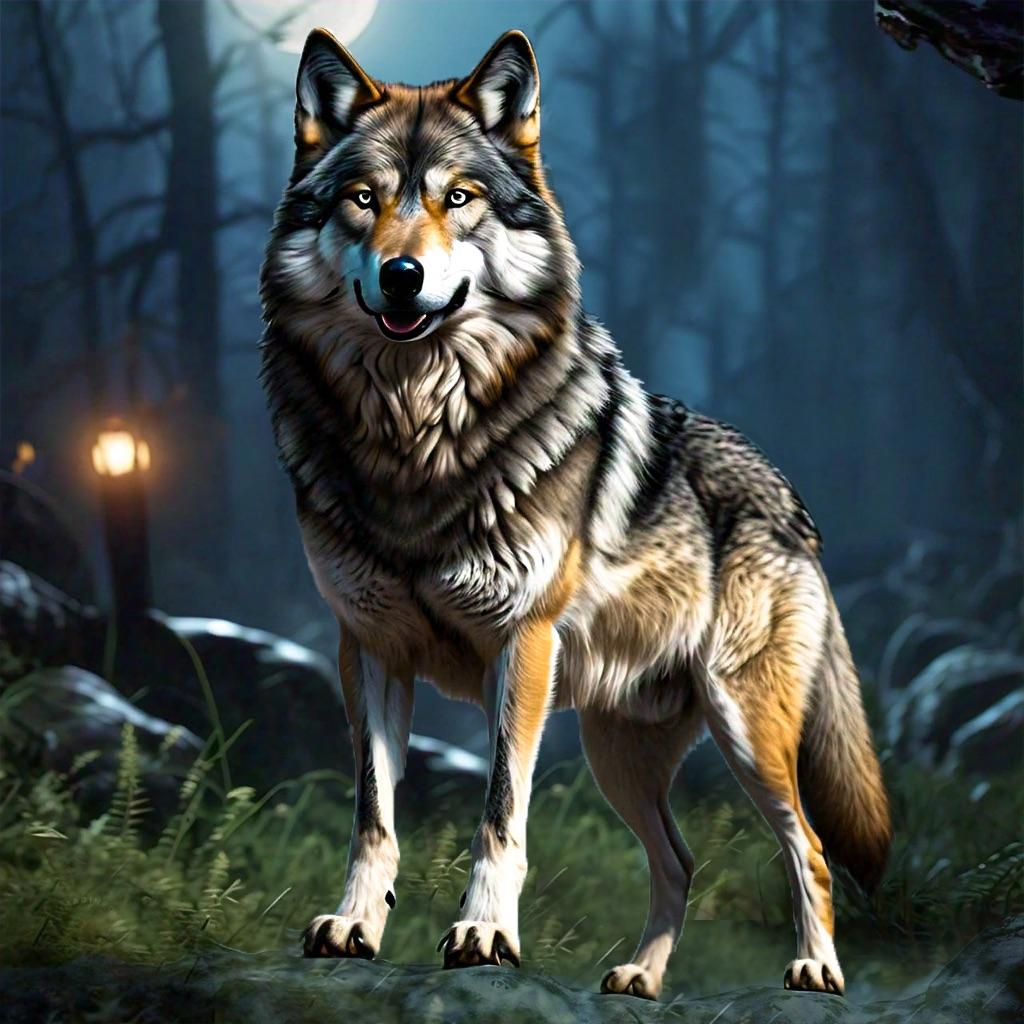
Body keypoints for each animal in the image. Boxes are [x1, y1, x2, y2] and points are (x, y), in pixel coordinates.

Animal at [259, 28, 892, 999]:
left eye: (459, 199)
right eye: (364, 200)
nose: (403, 276)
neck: (415, 439)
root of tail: (791, 495)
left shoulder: (520, 646)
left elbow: (499, 815)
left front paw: (484, 933)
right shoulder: (366, 647)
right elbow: (374, 813)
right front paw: (355, 925)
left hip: (746, 730)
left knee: (810, 847)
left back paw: (815, 967)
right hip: (616, 753)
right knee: (680, 862)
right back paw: (641, 977)